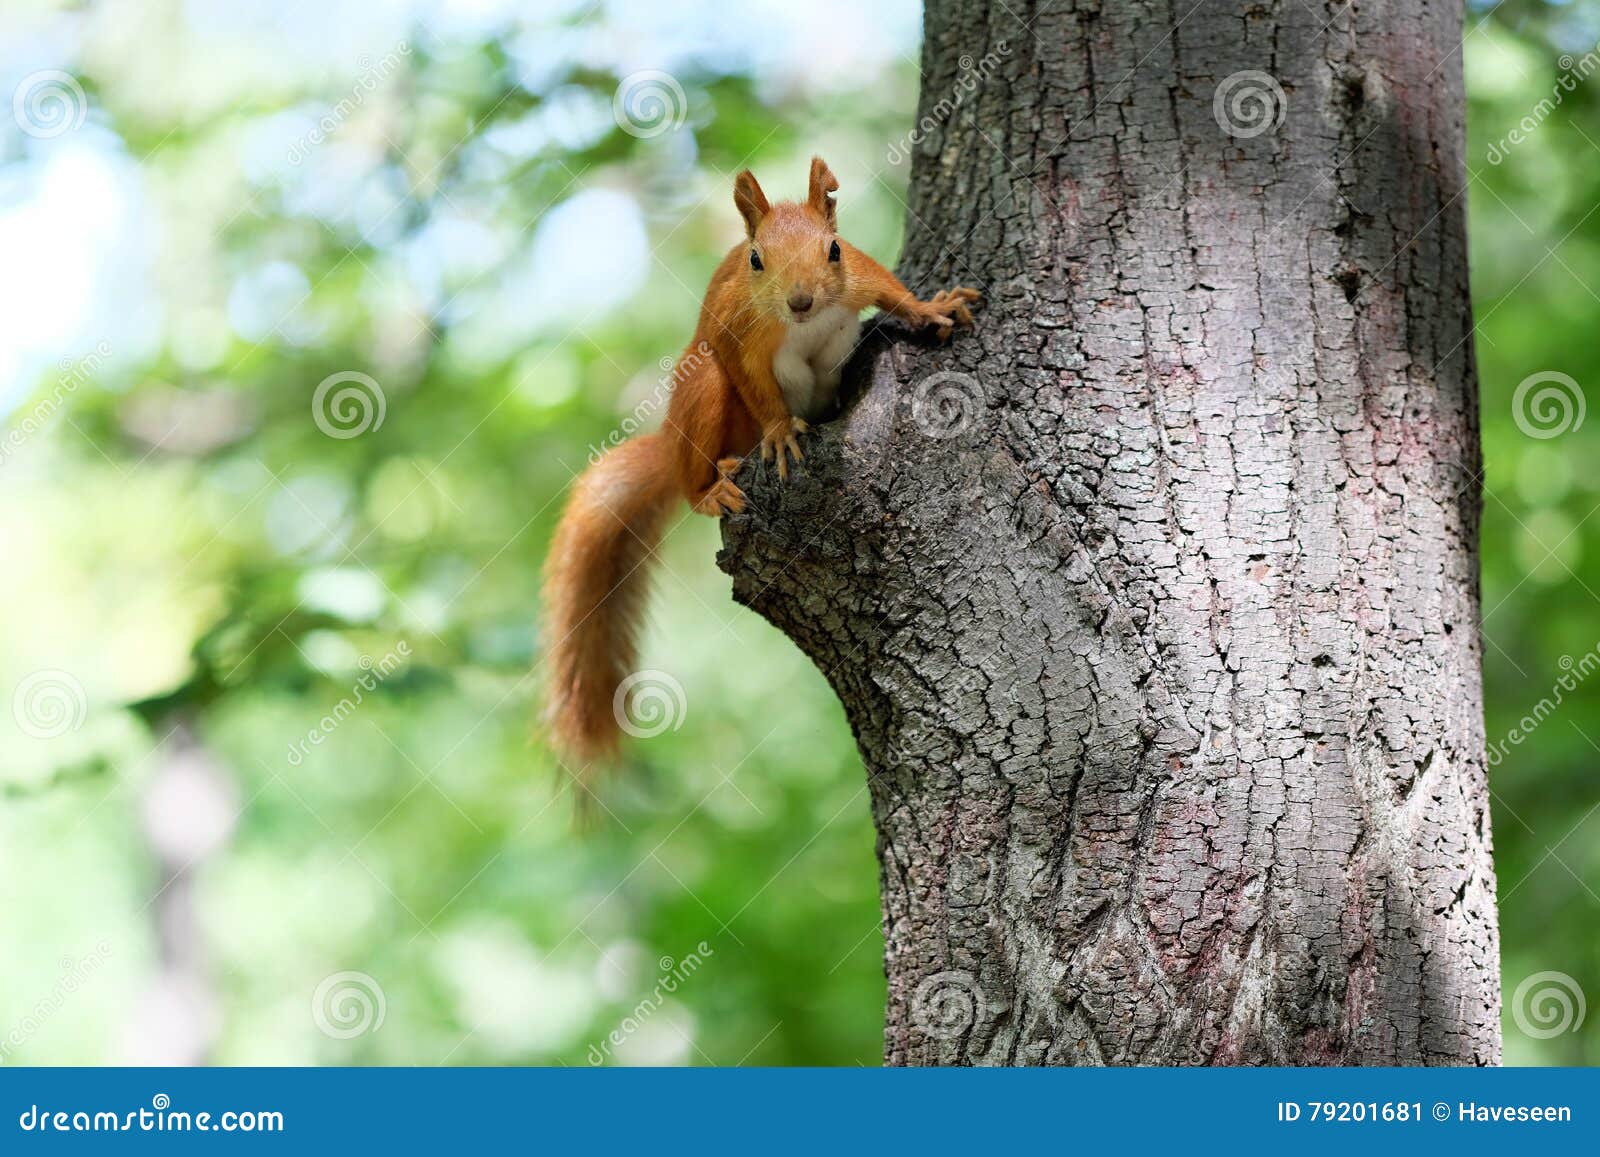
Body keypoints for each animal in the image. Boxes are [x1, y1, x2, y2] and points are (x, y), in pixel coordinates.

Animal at [542, 156, 979, 771]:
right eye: (755, 259)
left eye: (833, 249)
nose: (799, 301)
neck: (804, 323)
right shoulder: (741, 331)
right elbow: (756, 384)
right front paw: (779, 433)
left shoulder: (860, 276)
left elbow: (893, 293)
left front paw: (932, 307)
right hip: (702, 397)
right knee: (695, 458)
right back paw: (711, 488)